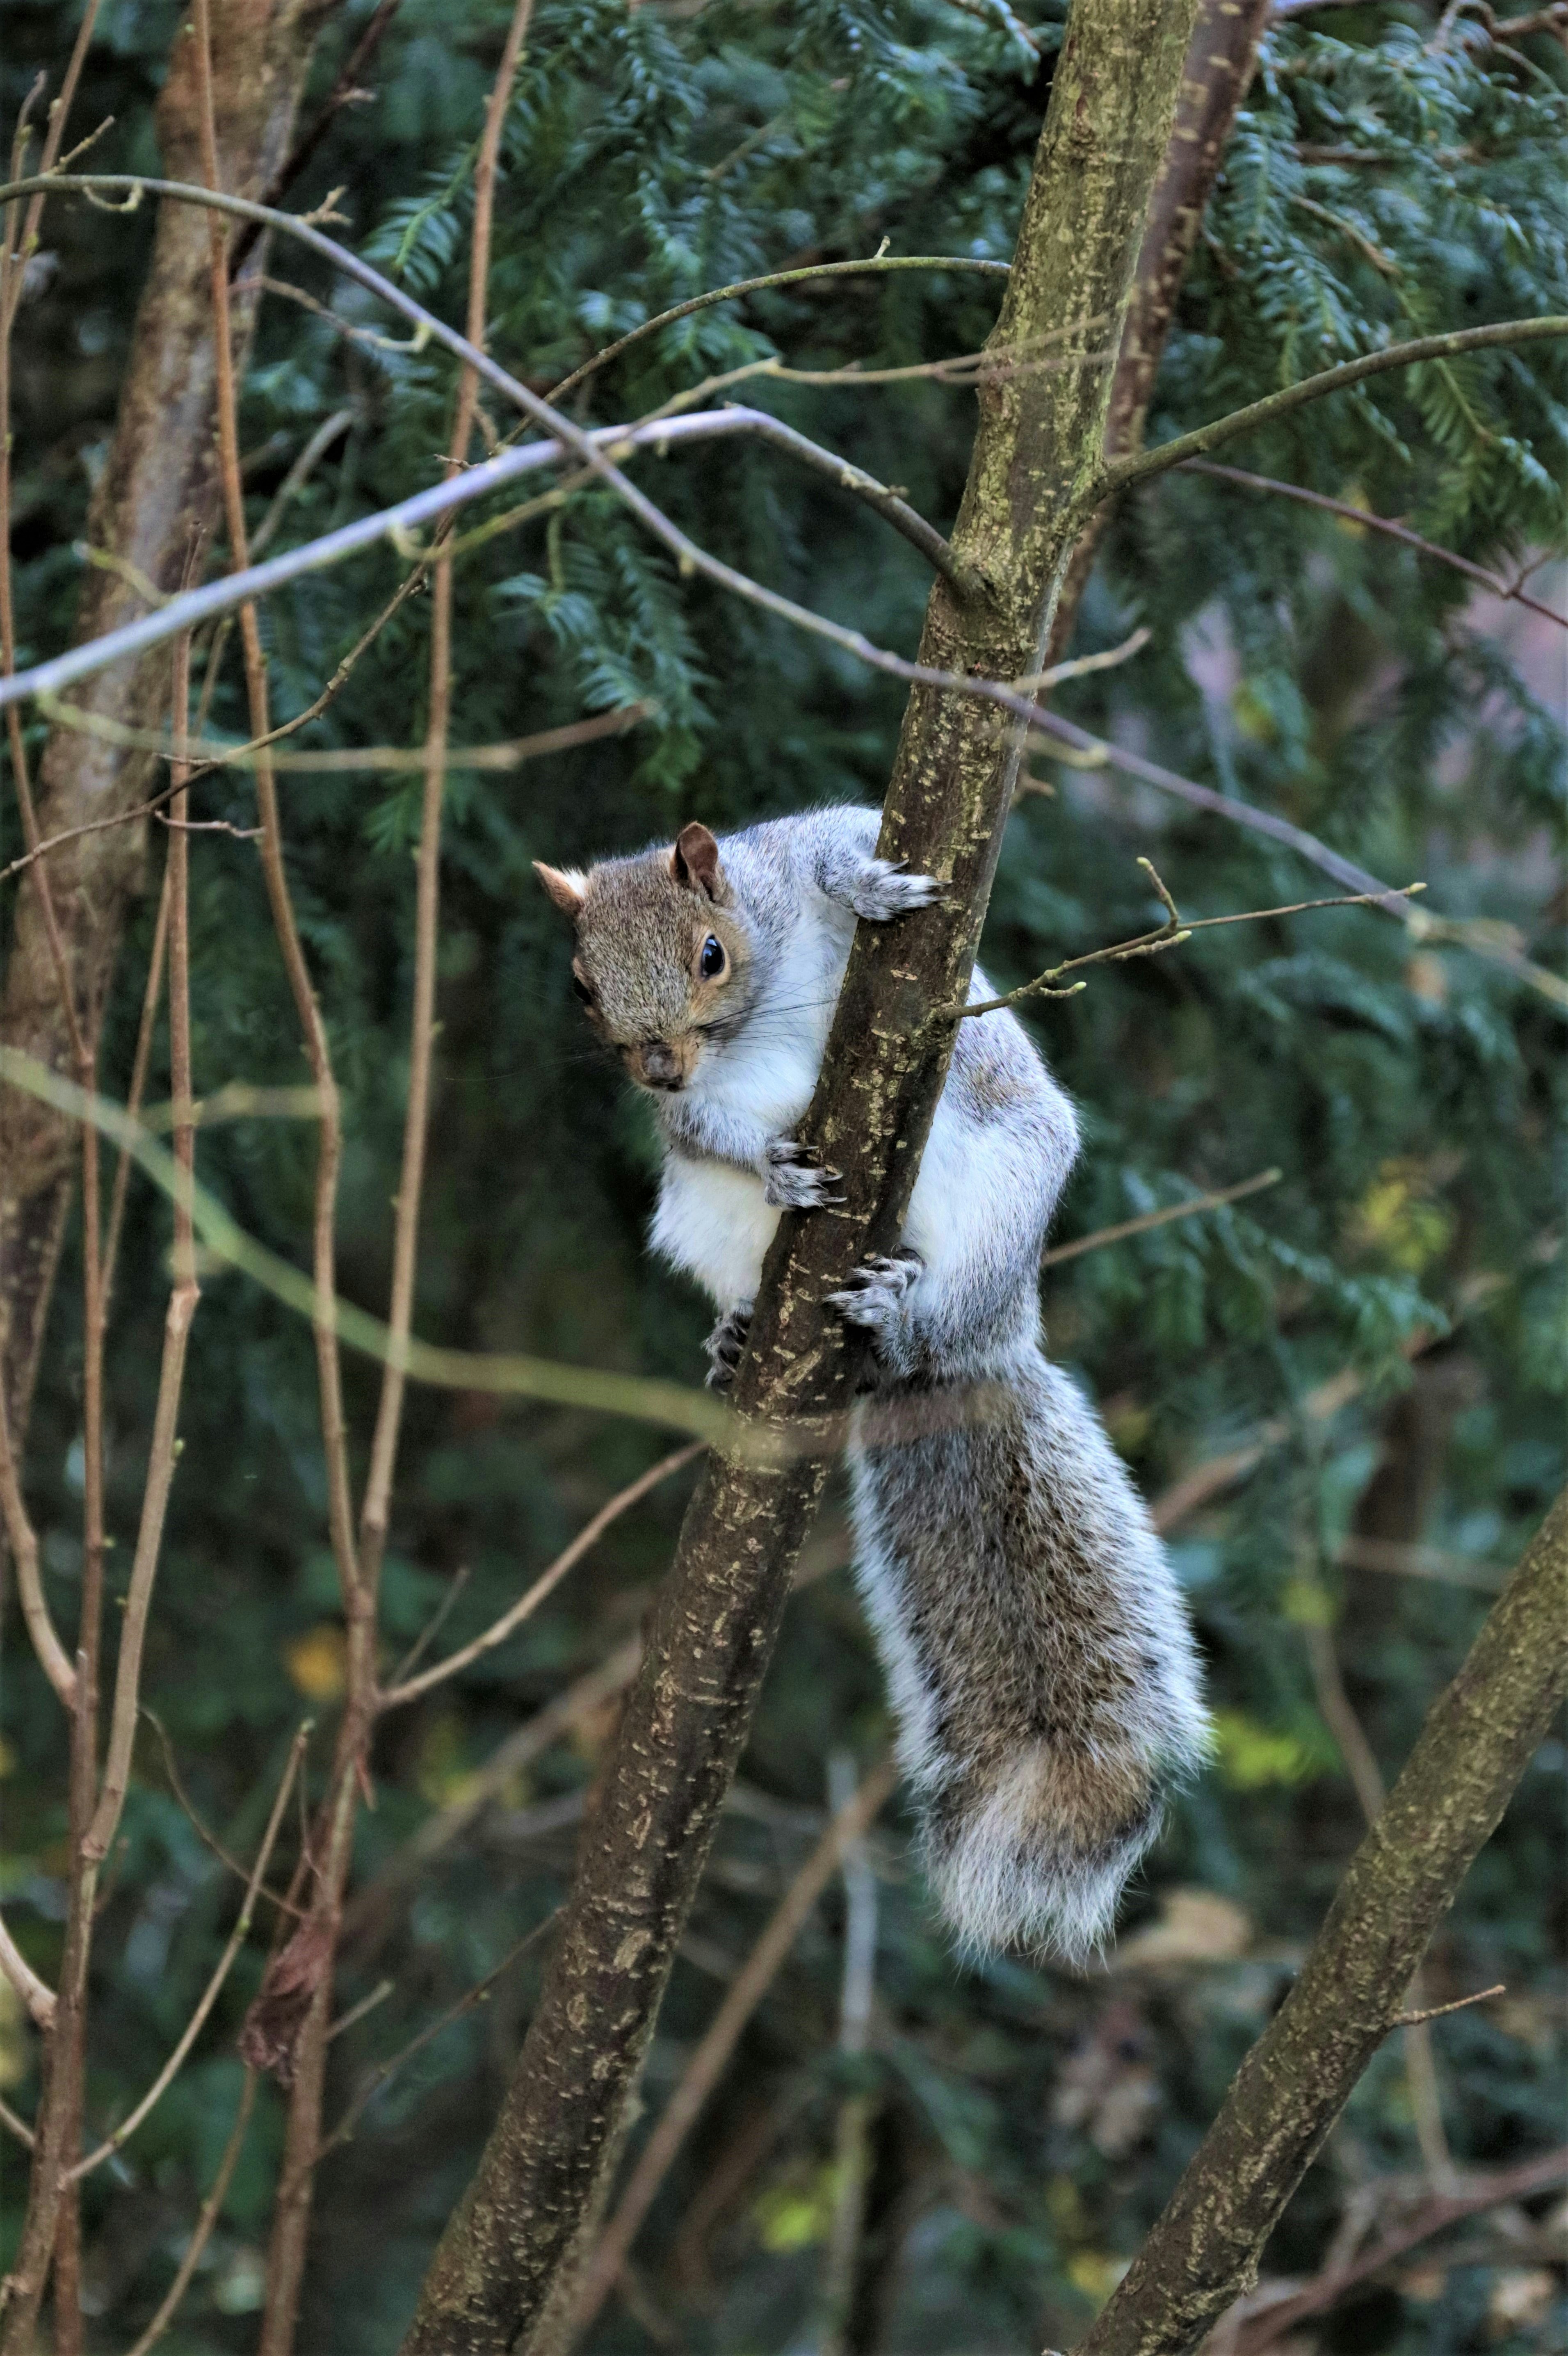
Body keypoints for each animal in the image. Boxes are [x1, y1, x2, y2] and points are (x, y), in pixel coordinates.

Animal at [535, 804, 1209, 1961]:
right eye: (581, 985)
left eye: (708, 954)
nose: (656, 1067)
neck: (750, 1024)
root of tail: (979, 1353)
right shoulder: (691, 1126)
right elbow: (711, 1132)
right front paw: (770, 1162)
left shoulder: (803, 848)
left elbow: (840, 841)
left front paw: (868, 888)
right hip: (696, 1220)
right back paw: (735, 1337)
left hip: (1005, 1187)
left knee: (949, 1296)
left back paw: (902, 1316)